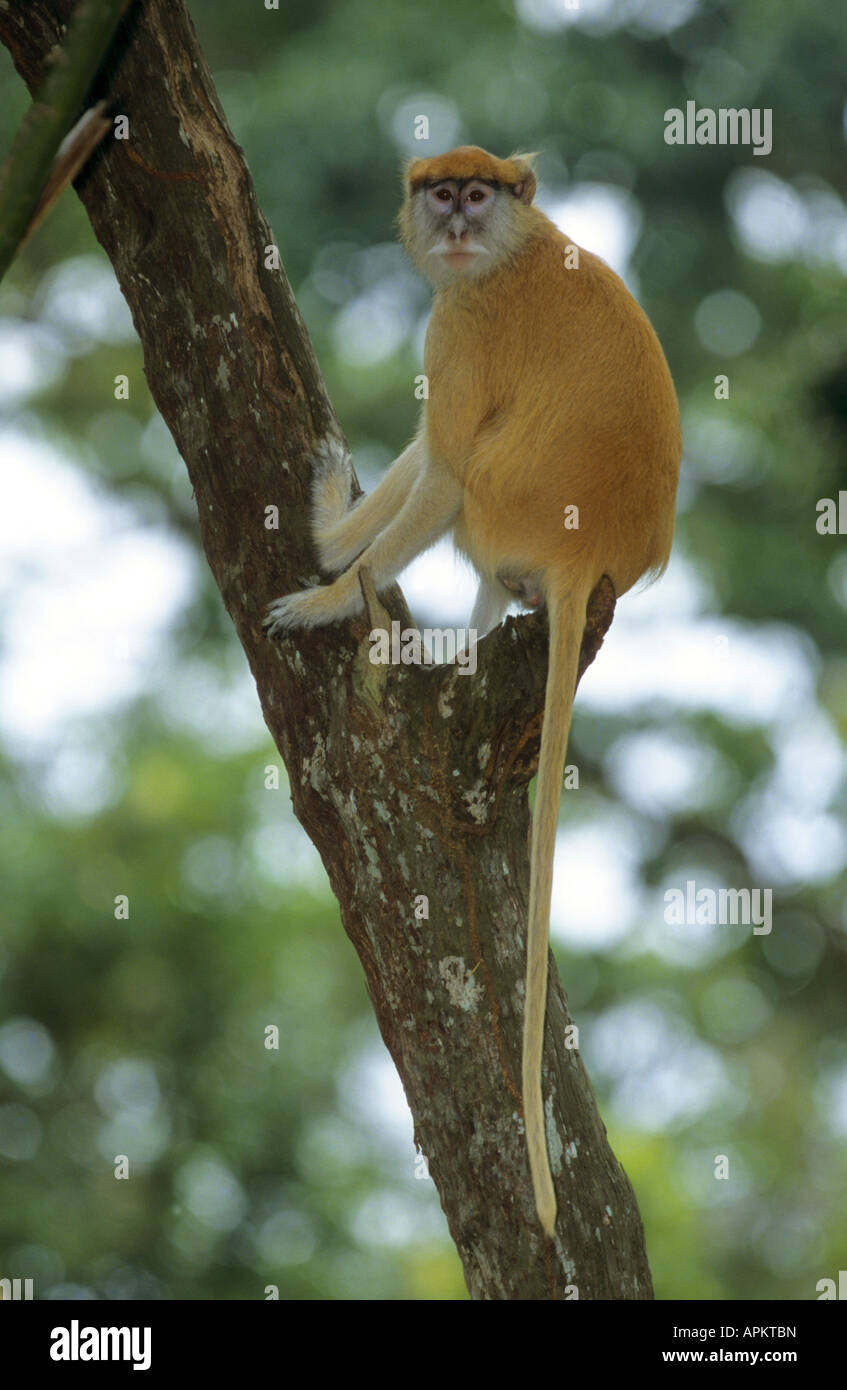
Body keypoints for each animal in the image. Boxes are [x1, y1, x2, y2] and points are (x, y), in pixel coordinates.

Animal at [265, 146, 681, 1238]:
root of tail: (589, 556)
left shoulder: (459, 325)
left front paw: (327, 588)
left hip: (502, 518)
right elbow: (431, 456)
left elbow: (446, 466)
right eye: (440, 191)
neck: (512, 249)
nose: (454, 218)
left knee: (463, 478)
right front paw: (332, 539)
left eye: (476, 193)